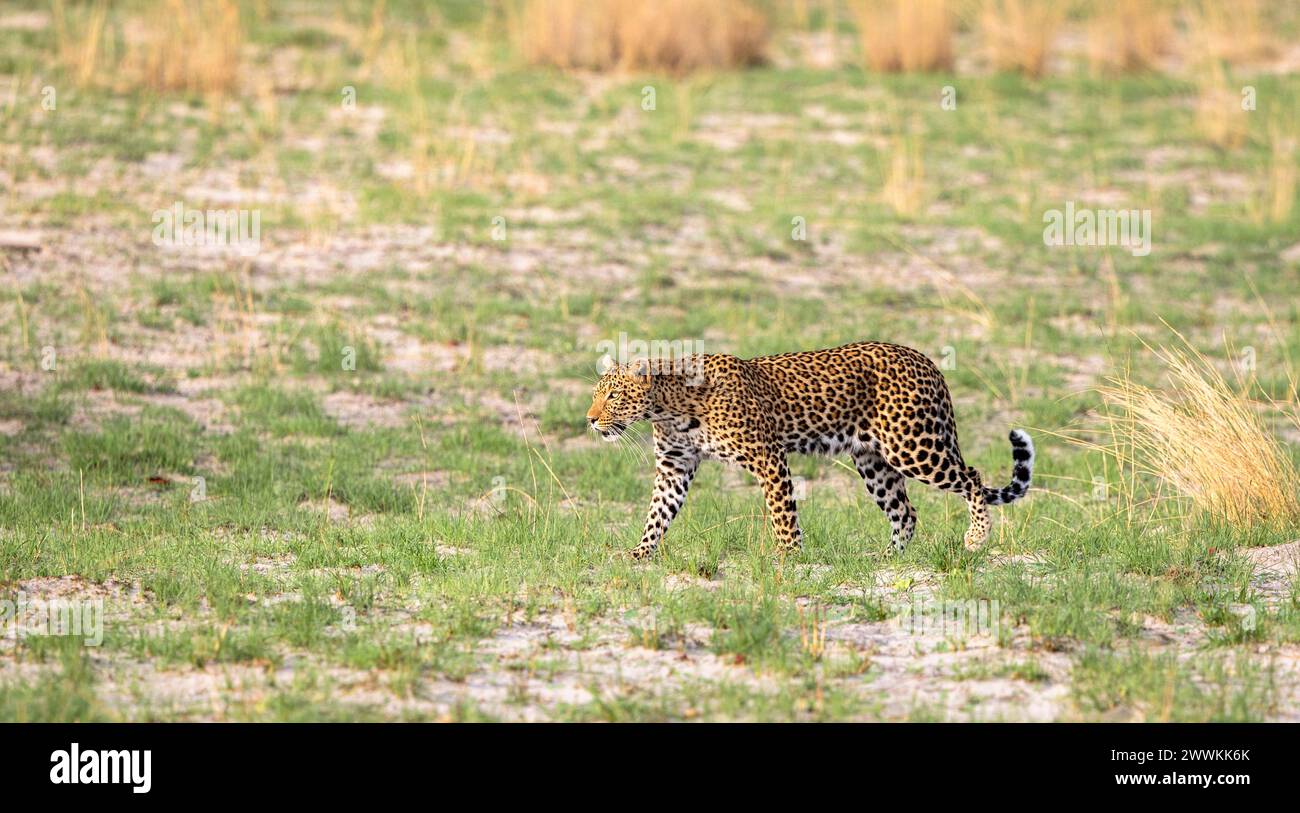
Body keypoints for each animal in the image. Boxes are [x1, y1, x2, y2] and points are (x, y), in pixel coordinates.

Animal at [585, 340, 1034, 560]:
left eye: (612, 396)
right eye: (596, 395)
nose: (589, 419)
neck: (670, 408)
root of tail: (927, 361)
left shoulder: (768, 457)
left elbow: (782, 513)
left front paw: (789, 556)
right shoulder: (674, 467)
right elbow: (657, 513)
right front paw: (640, 553)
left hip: (913, 446)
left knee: (972, 477)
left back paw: (976, 538)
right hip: (873, 462)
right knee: (905, 511)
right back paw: (887, 559)